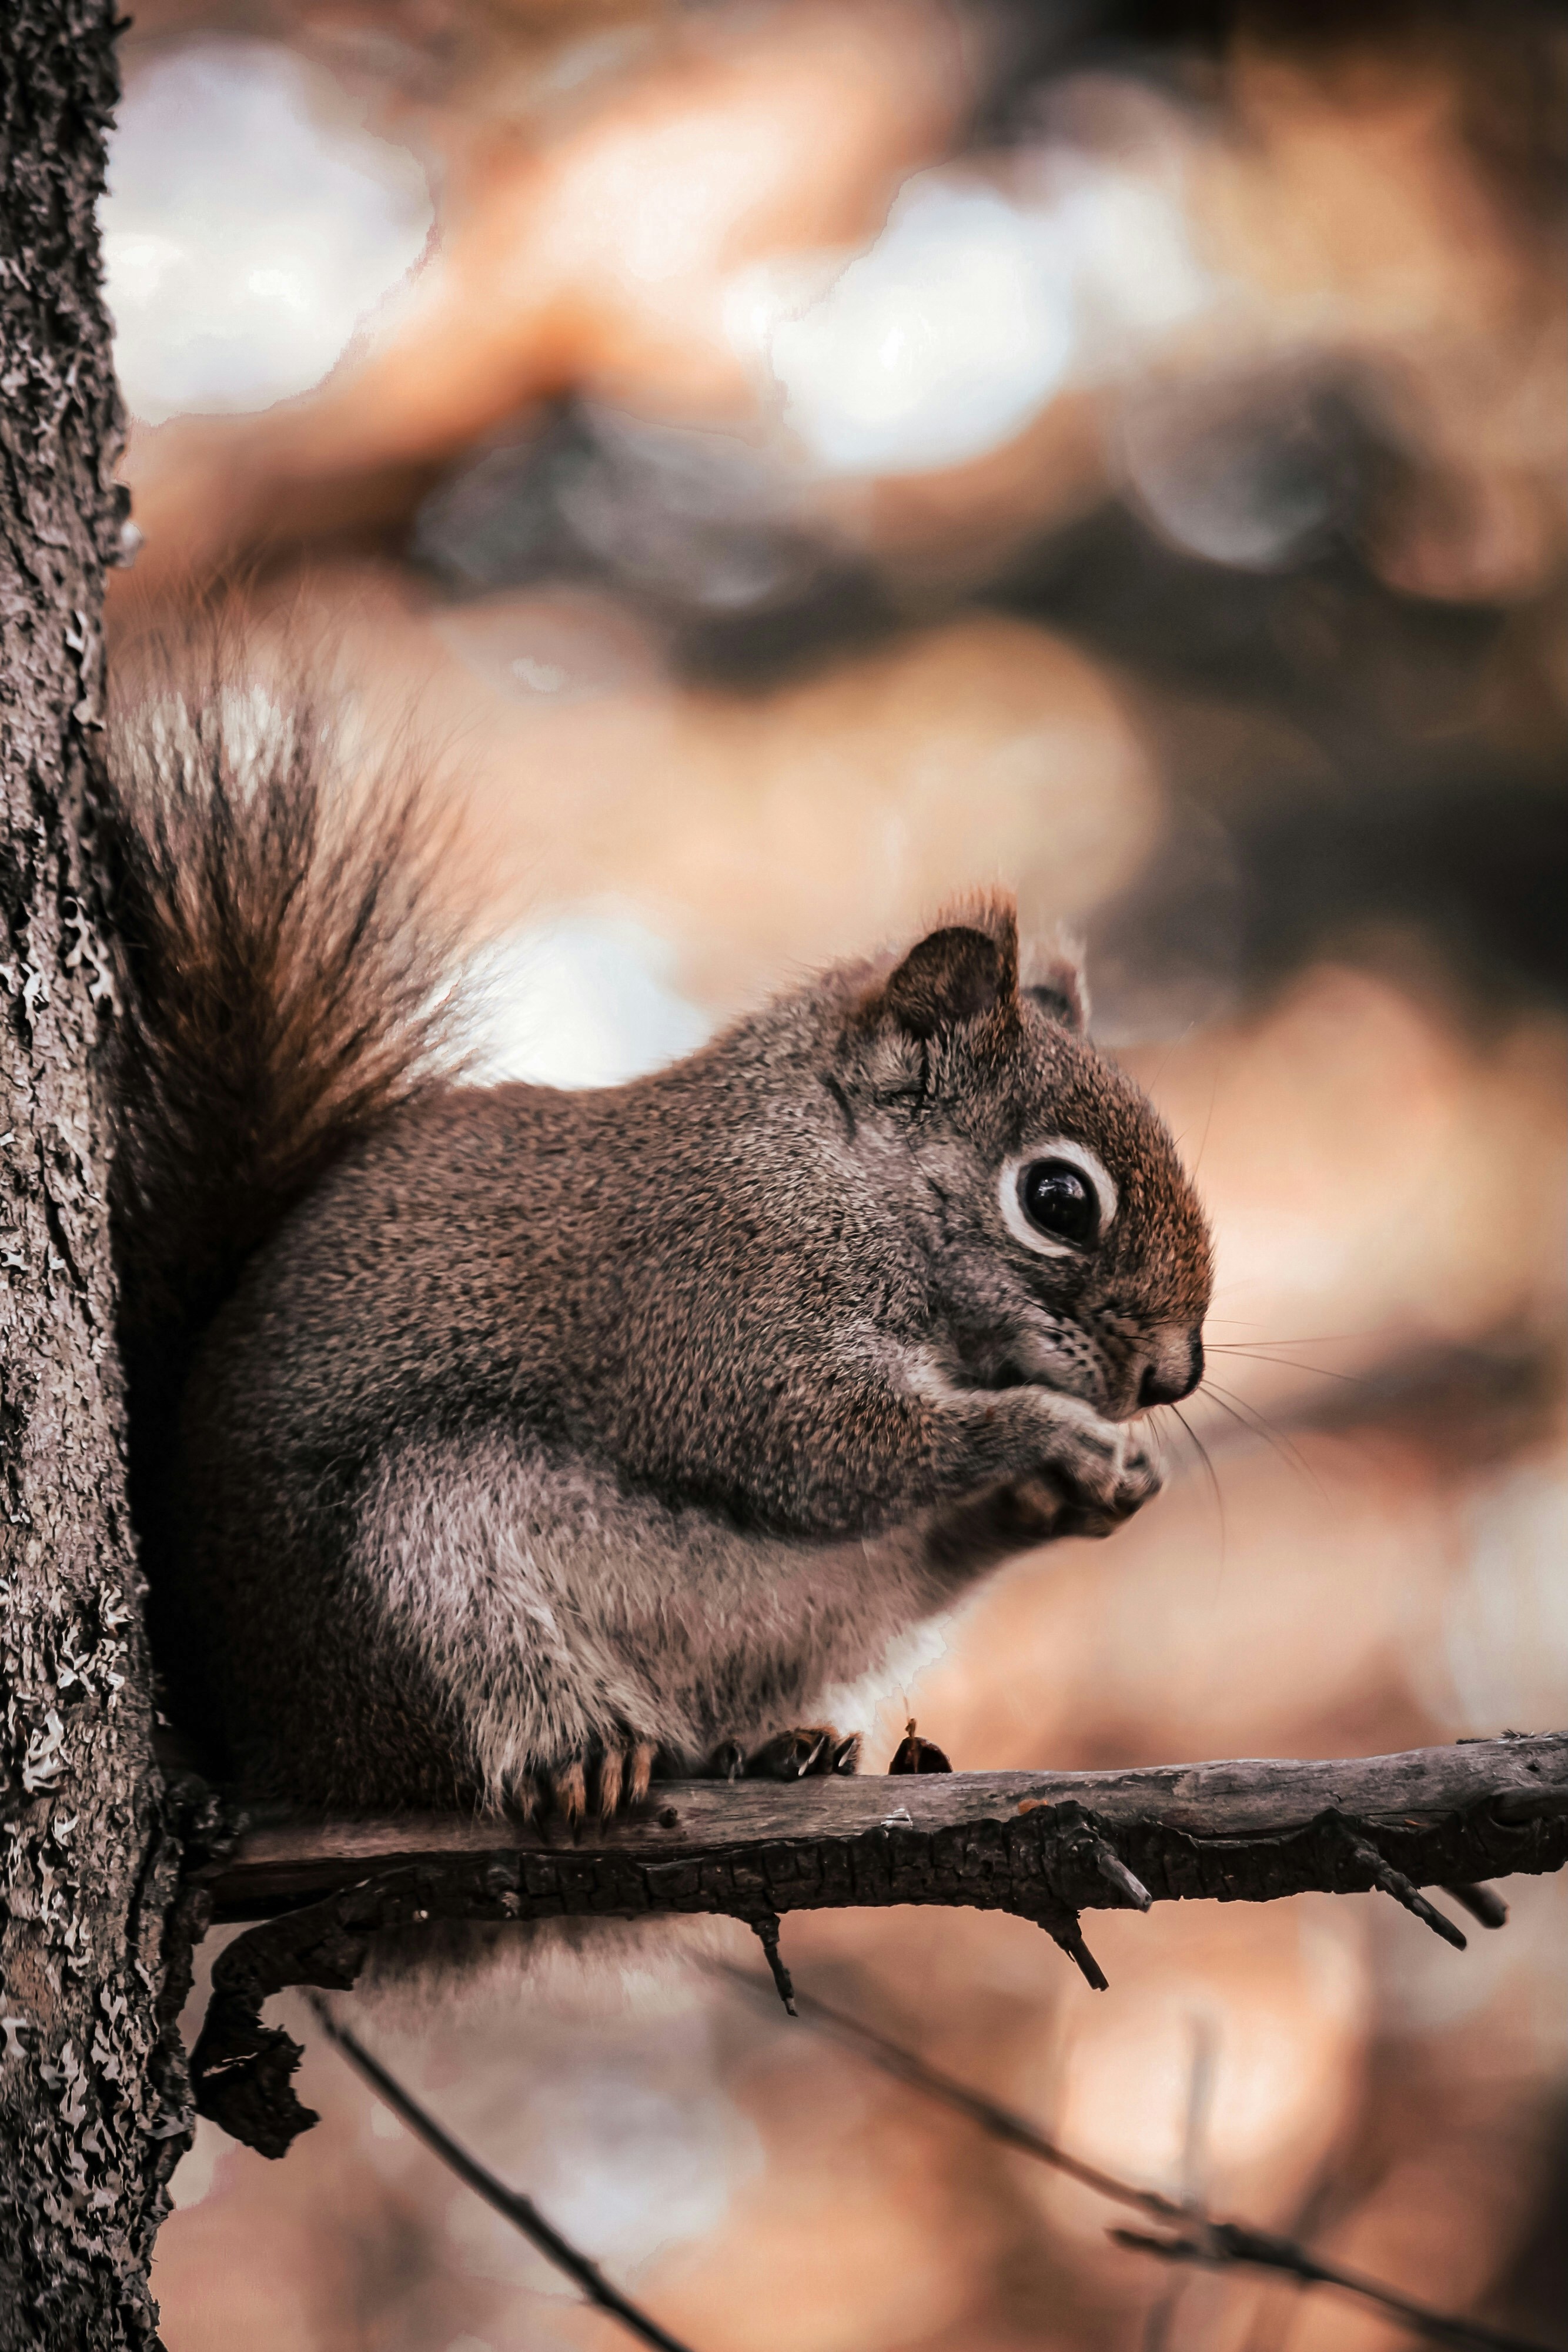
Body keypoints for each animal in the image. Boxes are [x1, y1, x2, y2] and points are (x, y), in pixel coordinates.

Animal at [104, 661, 1213, 1824]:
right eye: (1057, 1199)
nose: (1174, 1376)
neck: (833, 1171)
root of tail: (262, 1739)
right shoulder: (717, 1292)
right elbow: (814, 1441)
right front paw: (1050, 1433)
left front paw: (1105, 1472)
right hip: (415, 1567)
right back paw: (577, 1749)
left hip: (806, 1607)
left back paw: (783, 1744)